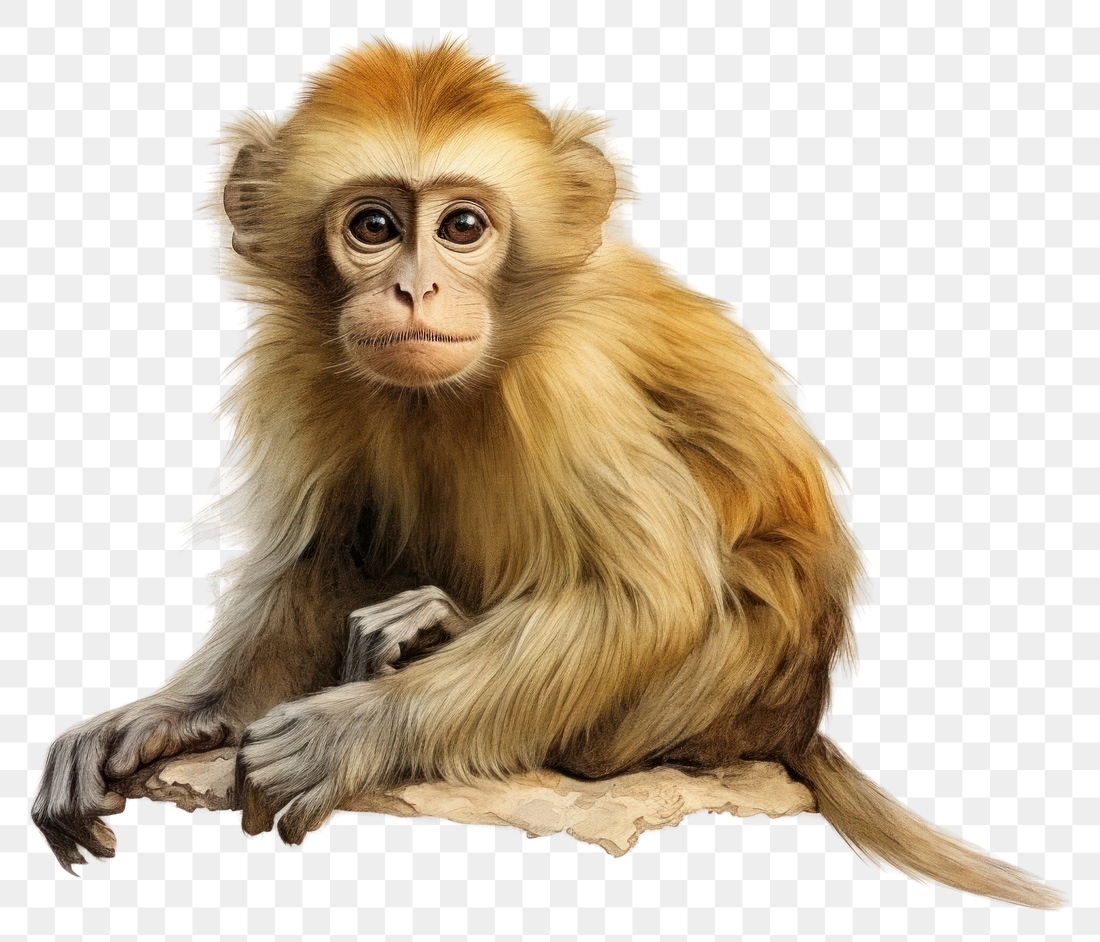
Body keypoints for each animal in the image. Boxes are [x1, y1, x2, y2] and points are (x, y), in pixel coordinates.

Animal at [31, 41, 1061, 909]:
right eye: (373, 226)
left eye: (463, 226)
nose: (415, 288)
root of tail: (794, 719)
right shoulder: (299, 363)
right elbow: (322, 556)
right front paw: (174, 715)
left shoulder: (571, 377)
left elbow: (650, 598)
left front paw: (348, 731)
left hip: (729, 680)